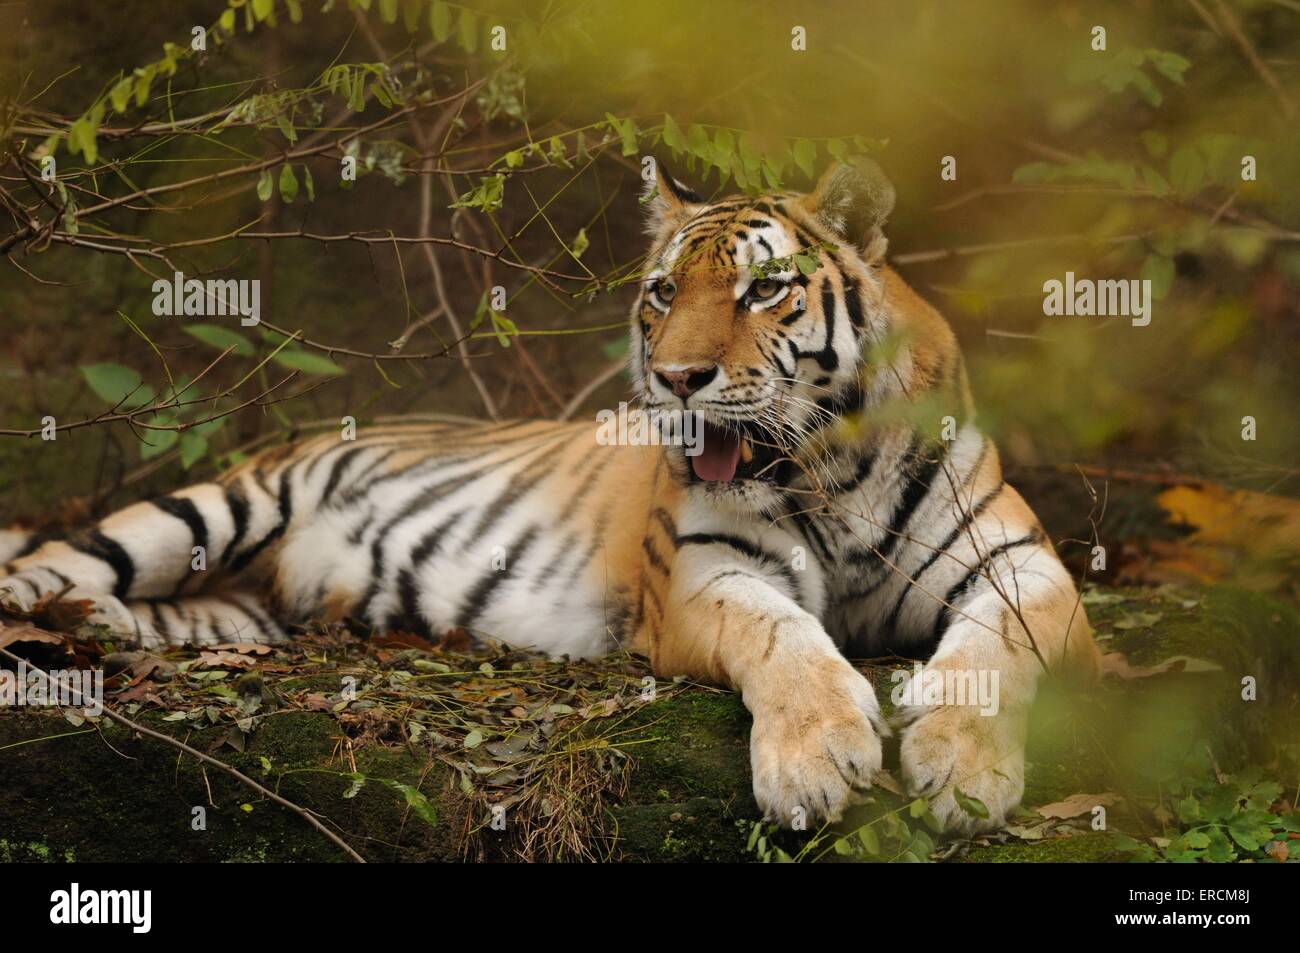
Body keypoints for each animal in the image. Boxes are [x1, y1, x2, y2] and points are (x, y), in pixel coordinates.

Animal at [0, 157, 1099, 834]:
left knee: (156, 615)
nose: (678, 378)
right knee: (44, 562)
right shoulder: (703, 580)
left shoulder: (1023, 566)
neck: (824, 469)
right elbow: (784, 637)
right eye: (663, 293)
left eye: (763, 289)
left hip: (242, 609)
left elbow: (996, 647)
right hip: (211, 511)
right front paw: (816, 760)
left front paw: (960, 767)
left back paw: (91, 624)